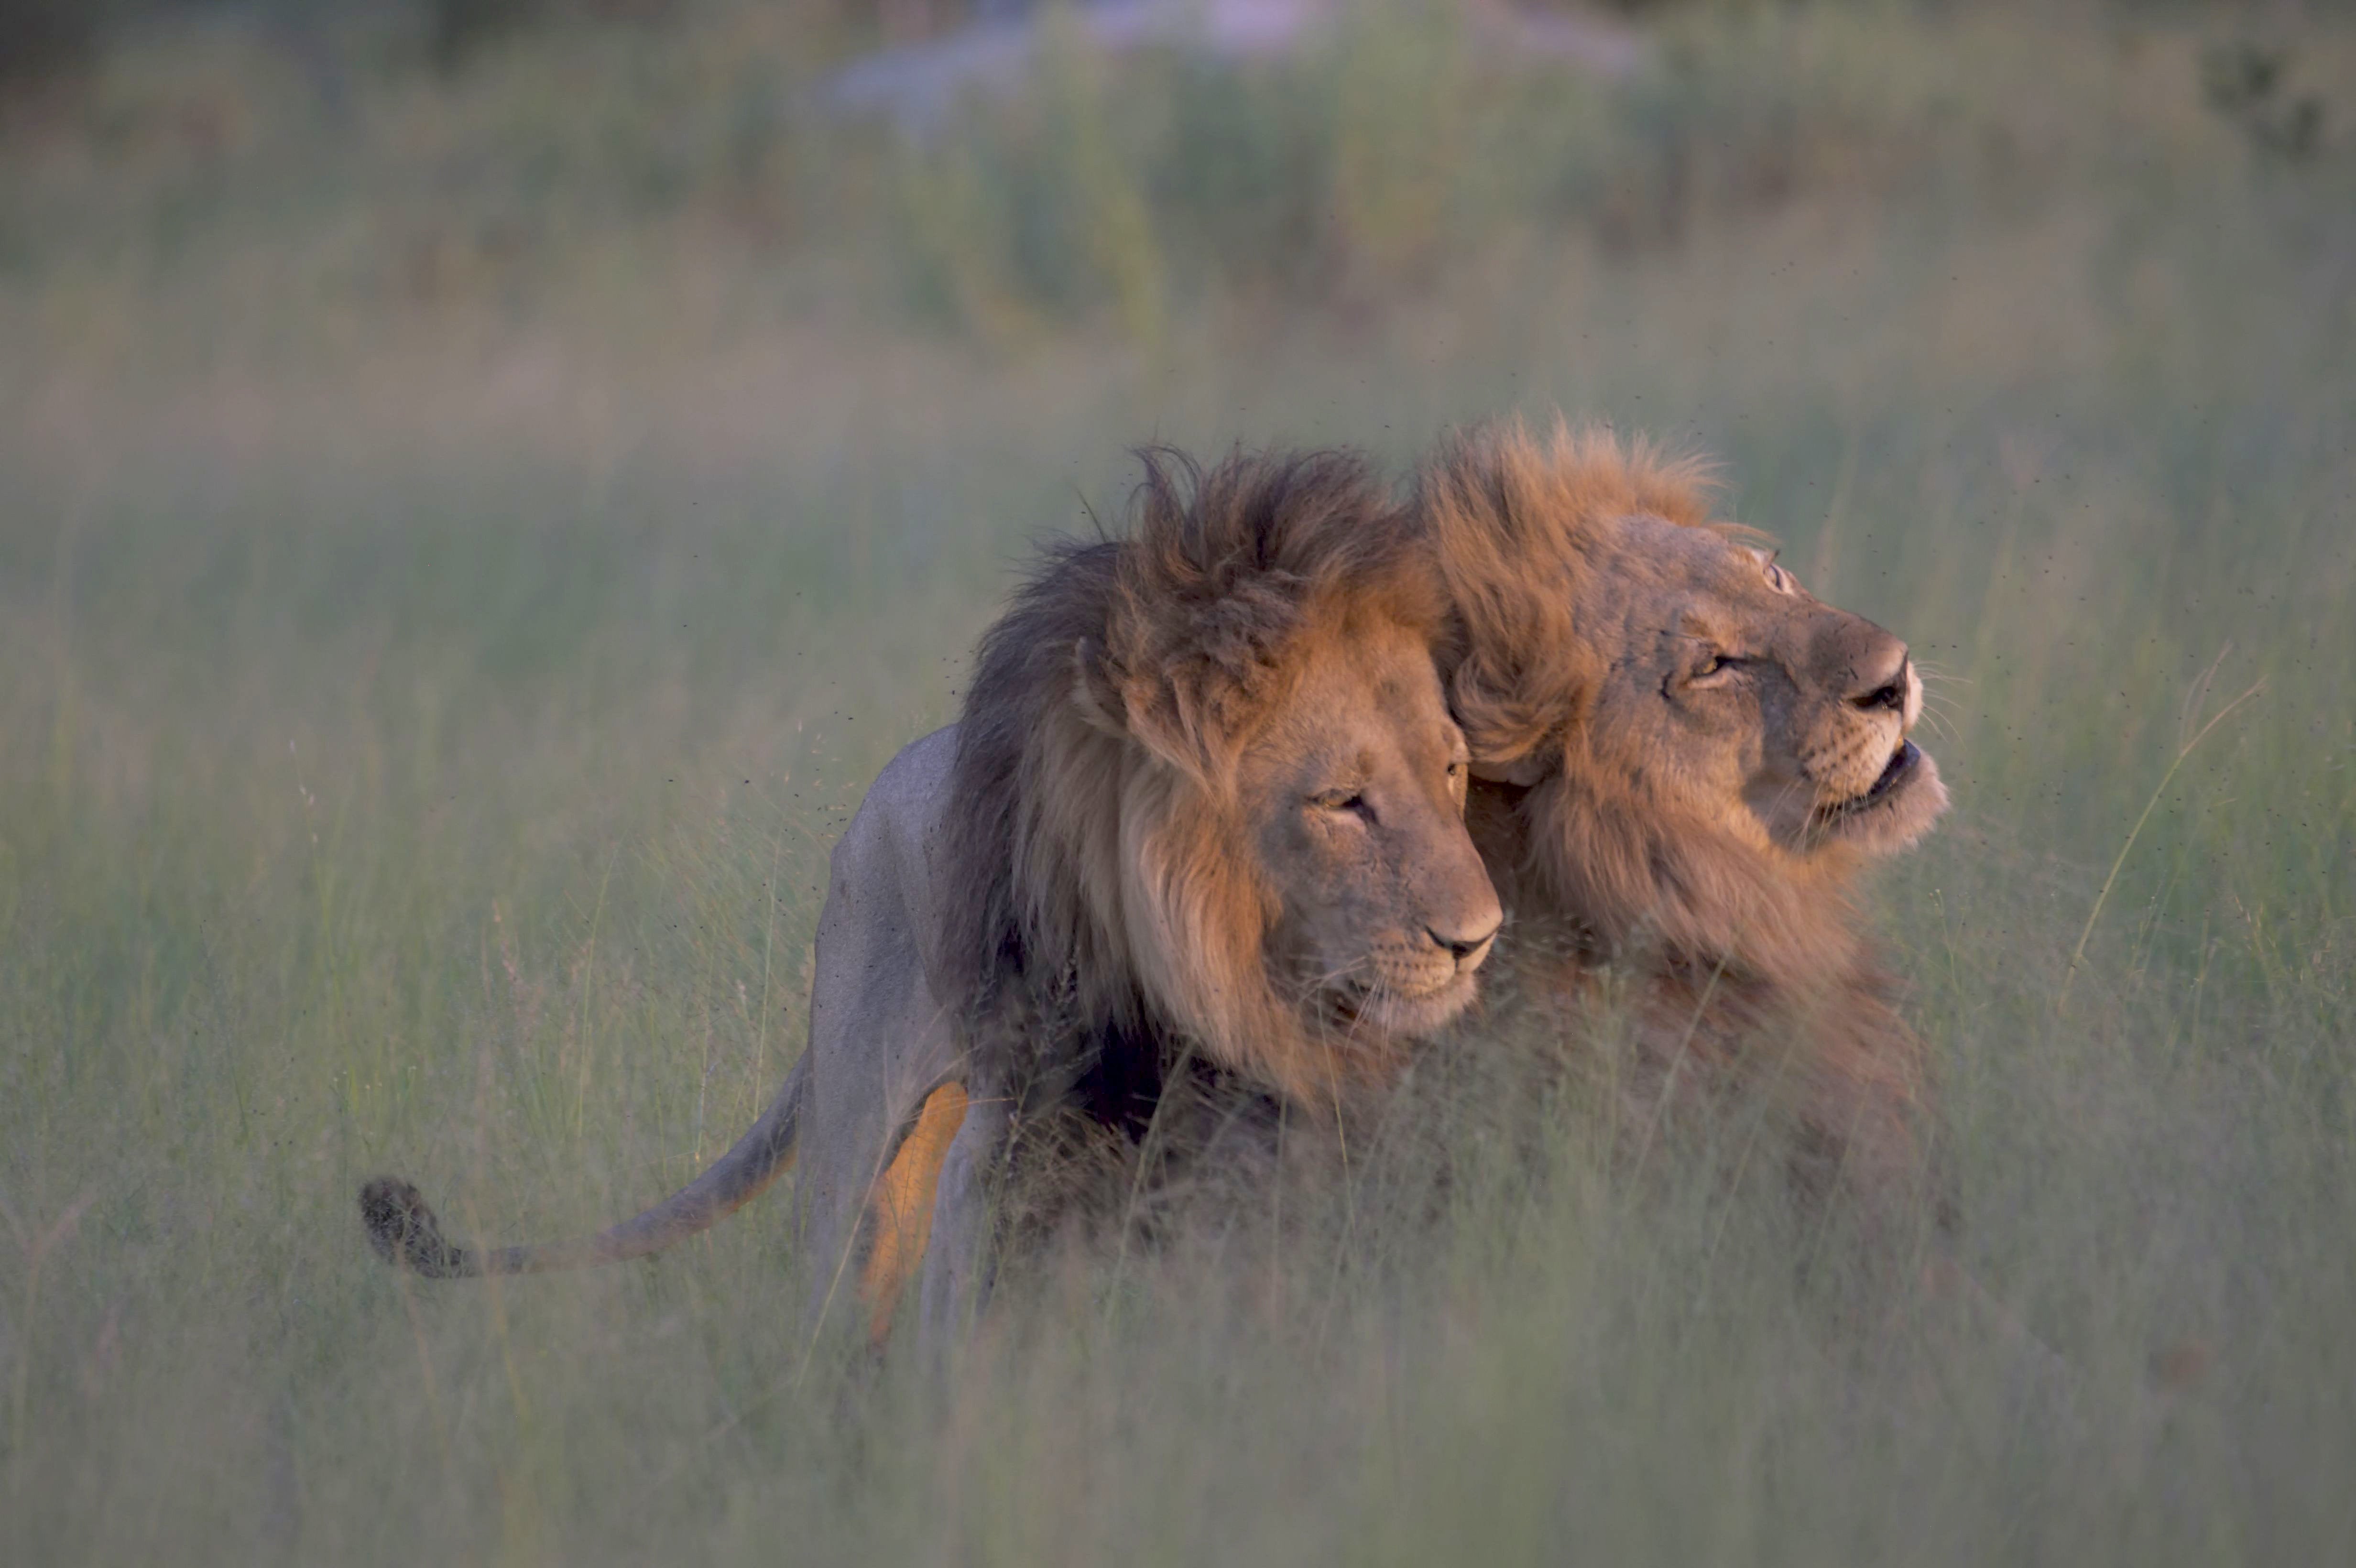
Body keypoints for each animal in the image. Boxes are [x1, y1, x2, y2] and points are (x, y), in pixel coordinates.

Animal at [361, 446, 1503, 1345]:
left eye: (1452, 771)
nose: (1479, 938)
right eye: (1342, 802)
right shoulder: (1009, 1148)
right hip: (859, 1158)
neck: (1213, 994)